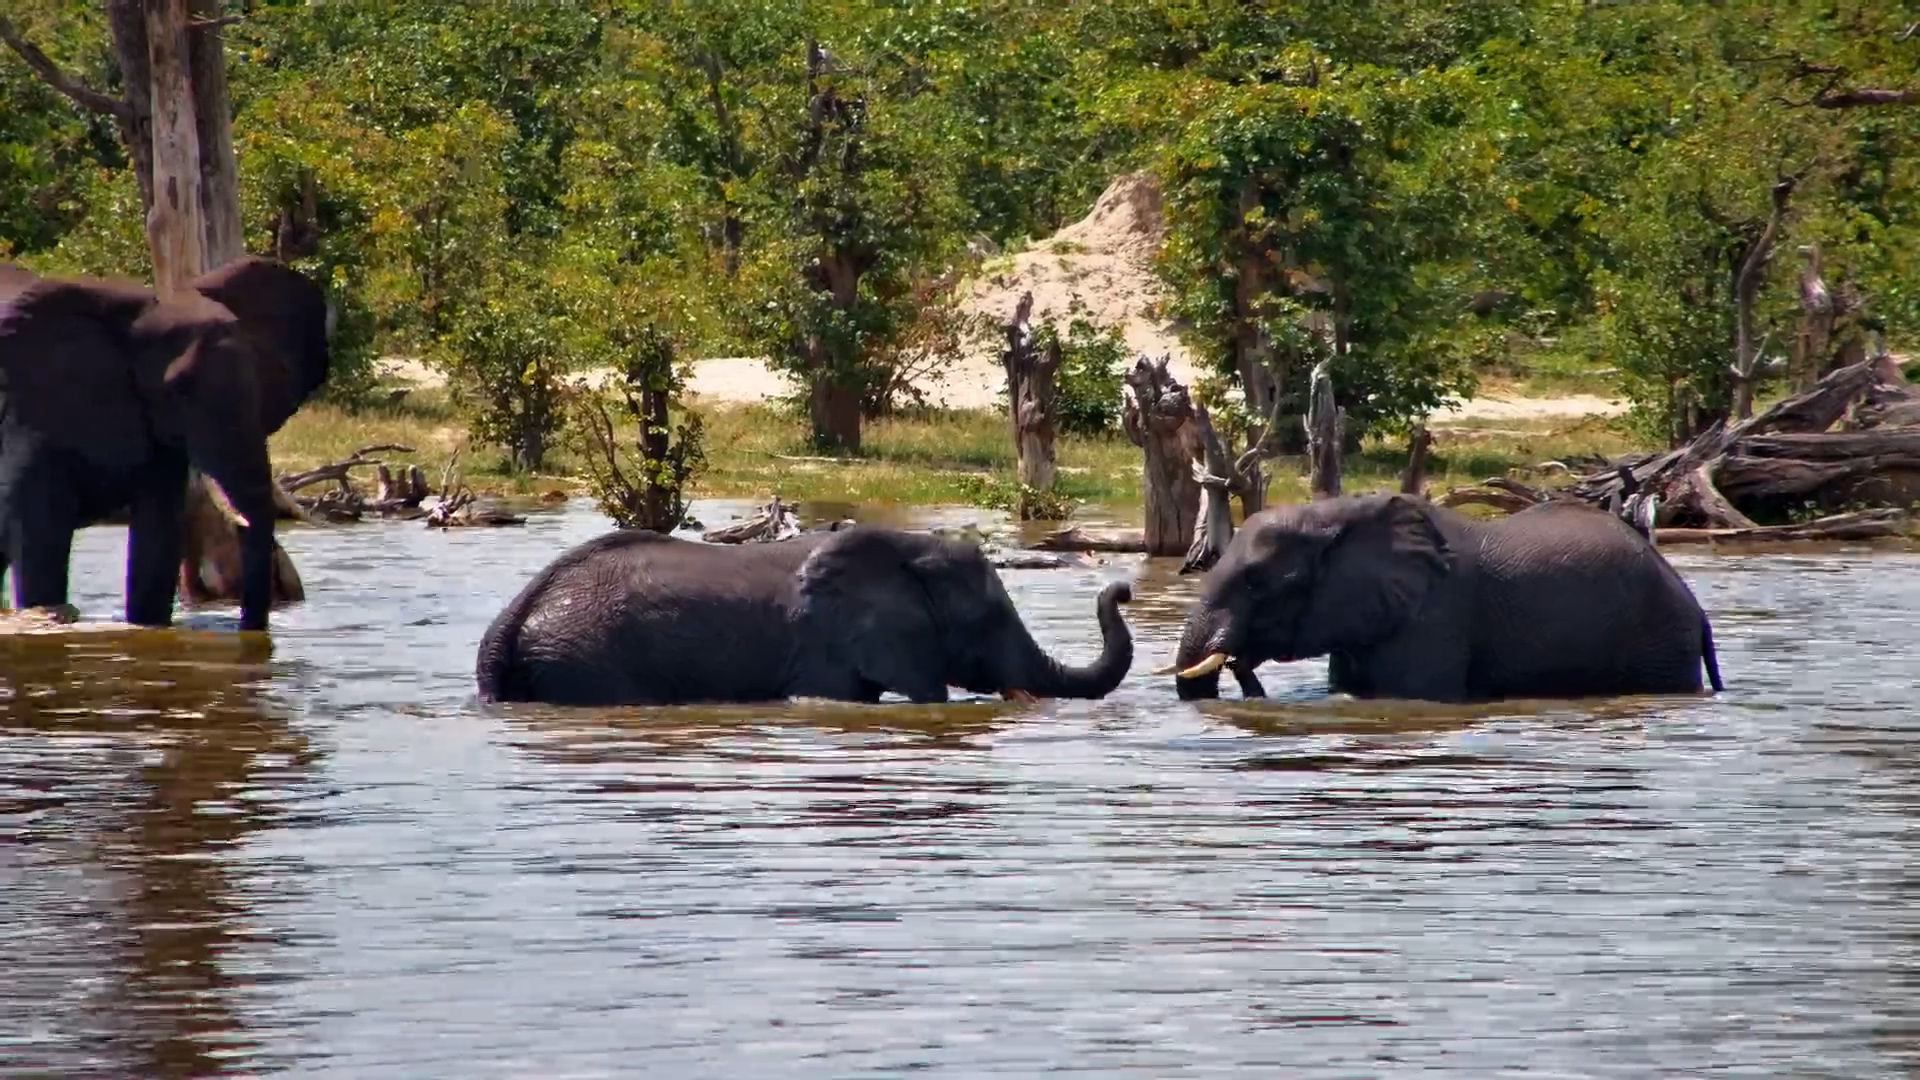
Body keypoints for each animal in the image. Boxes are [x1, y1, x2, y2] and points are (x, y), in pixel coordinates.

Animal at [0, 256, 334, 631]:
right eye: (178, 390)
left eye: (264, 382)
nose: (248, 628)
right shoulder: (30, 409)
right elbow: (40, 534)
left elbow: (158, 539)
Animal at [1166, 493, 1724, 703]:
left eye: (1257, 582)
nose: (1236, 658)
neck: (1336, 512)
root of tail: (1695, 608)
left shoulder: (1433, 617)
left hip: (1658, 644)